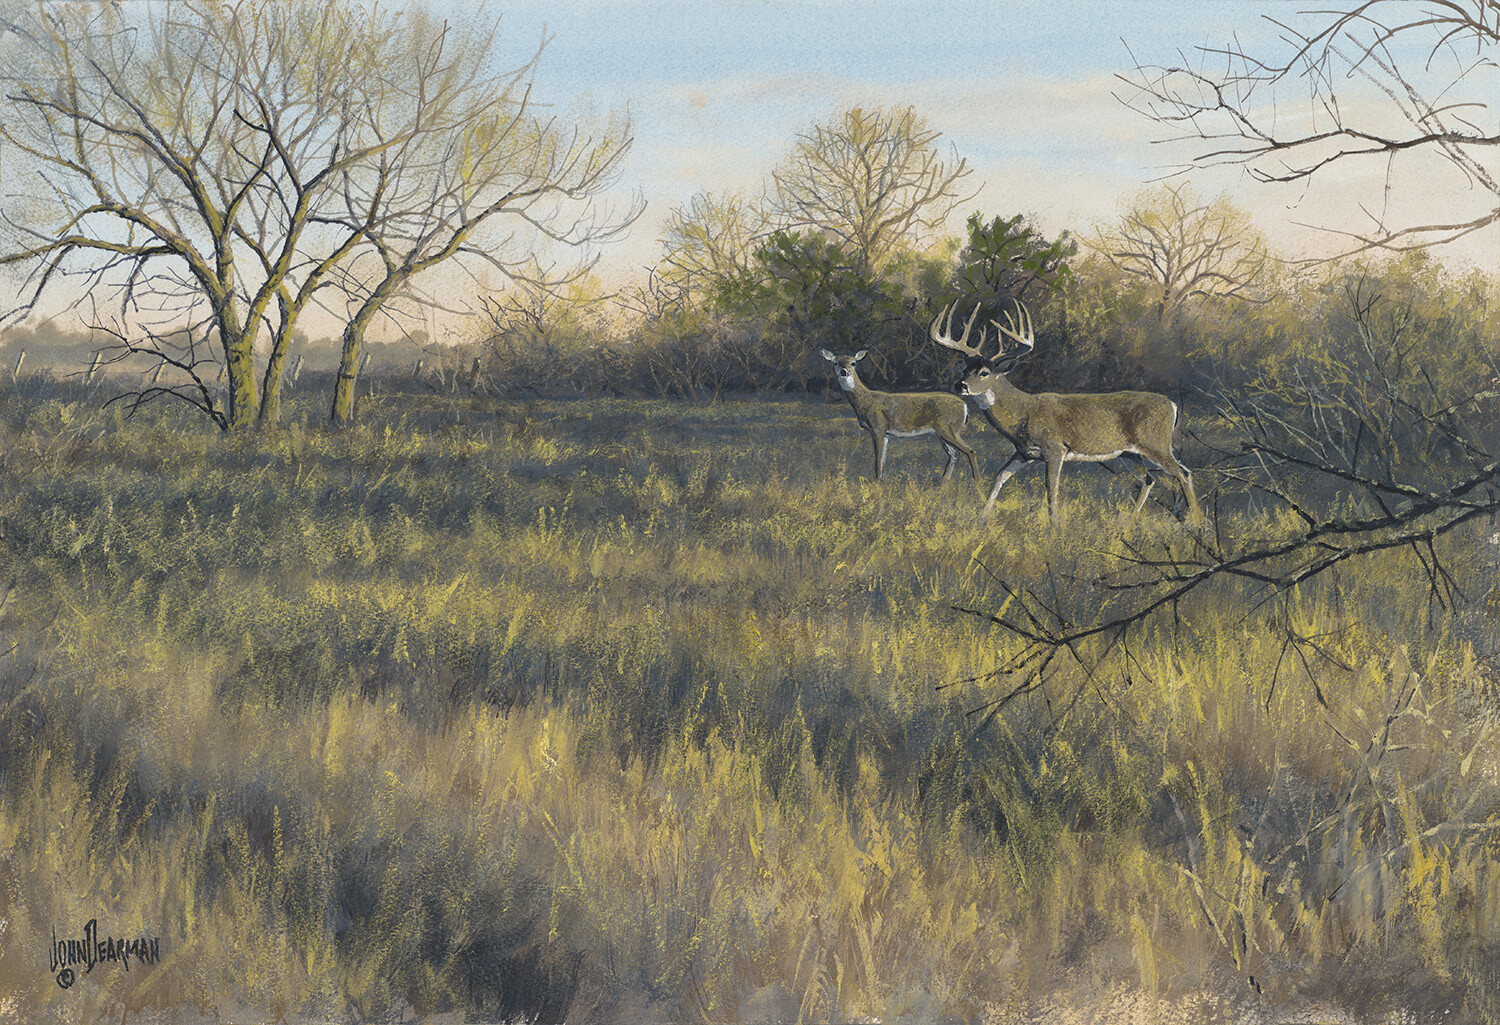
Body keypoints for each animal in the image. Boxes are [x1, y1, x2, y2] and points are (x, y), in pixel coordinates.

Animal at [818, 348, 981, 483]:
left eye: (853, 363)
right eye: (835, 363)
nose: (844, 371)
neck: (865, 401)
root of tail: (965, 406)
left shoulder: (879, 427)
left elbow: (878, 457)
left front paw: (877, 481)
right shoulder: (885, 433)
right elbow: (882, 458)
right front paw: (882, 480)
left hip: (948, 428)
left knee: (970, 451)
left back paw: (976, 481)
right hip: (943, 432)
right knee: (954, 453)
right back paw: (944, 481)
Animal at [929, 302, 1202, 523]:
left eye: (984, 372)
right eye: (965, 369)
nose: (960, 385)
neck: (1022, 413)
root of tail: (1173, 405)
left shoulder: (1055, 448)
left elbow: (1052, 490)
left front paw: (1055, 530)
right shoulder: (1024, 453)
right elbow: (999, 478)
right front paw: (980, 520)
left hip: (1155, 443)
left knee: (1183, 472)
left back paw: (1196, 523)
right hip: (1129, 453)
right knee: (1149, 479)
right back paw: (1129, 522)